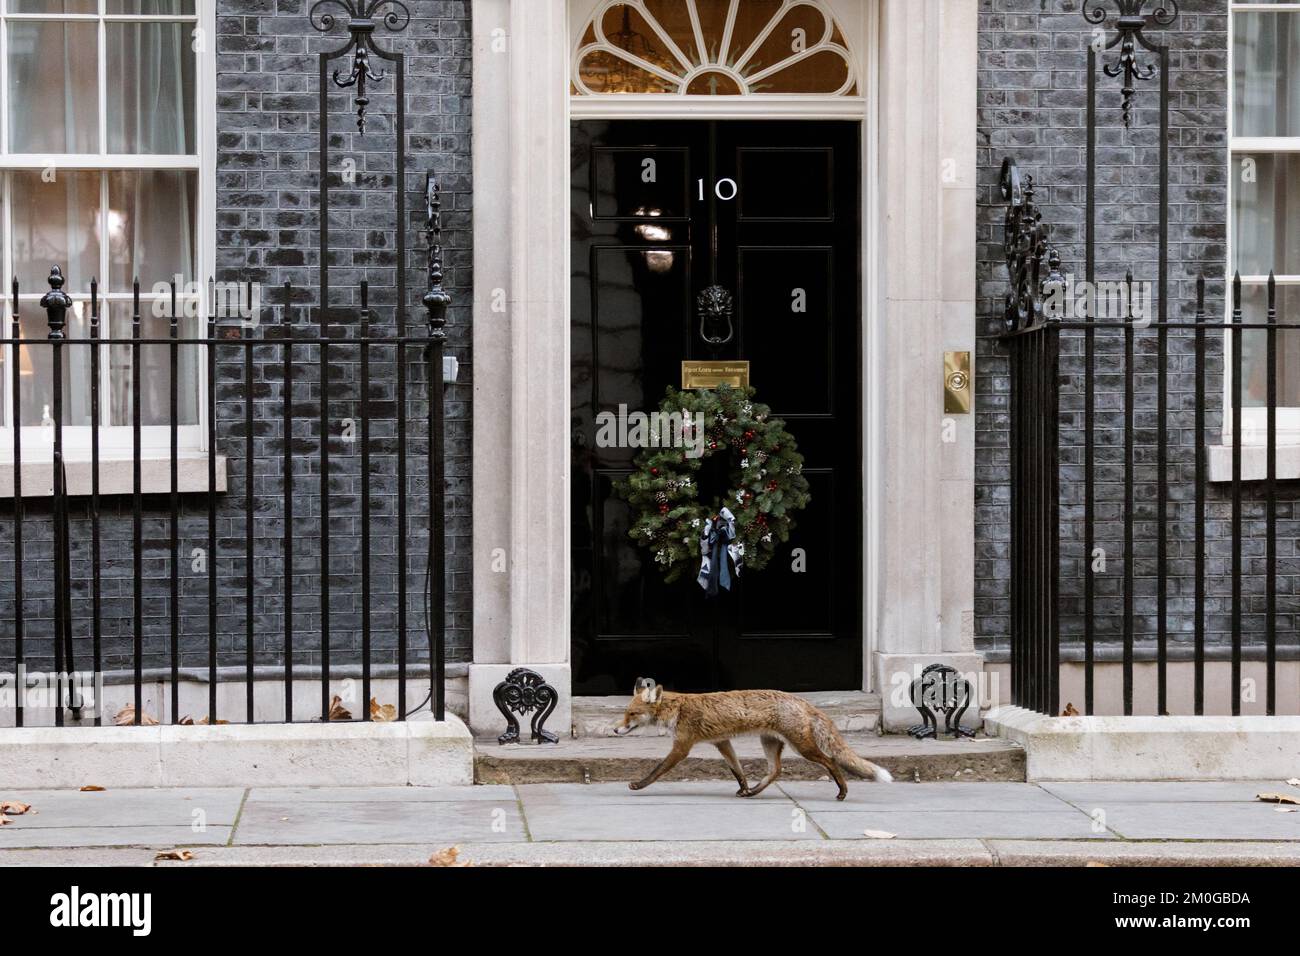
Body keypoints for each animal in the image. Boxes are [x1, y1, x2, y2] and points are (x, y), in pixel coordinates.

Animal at [615, 678, 893, 800]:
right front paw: (745, 787)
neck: (678, 708)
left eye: (631, 714)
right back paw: (754, 792)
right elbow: (737, 770)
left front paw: (639, 785)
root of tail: (801, 700)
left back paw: (842, 791)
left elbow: (658, 770)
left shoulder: (683, 746)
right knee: (775, 770)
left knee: (831, 761)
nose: (615, 730)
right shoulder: (721, 742)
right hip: (770, 743)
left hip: (802, 747)